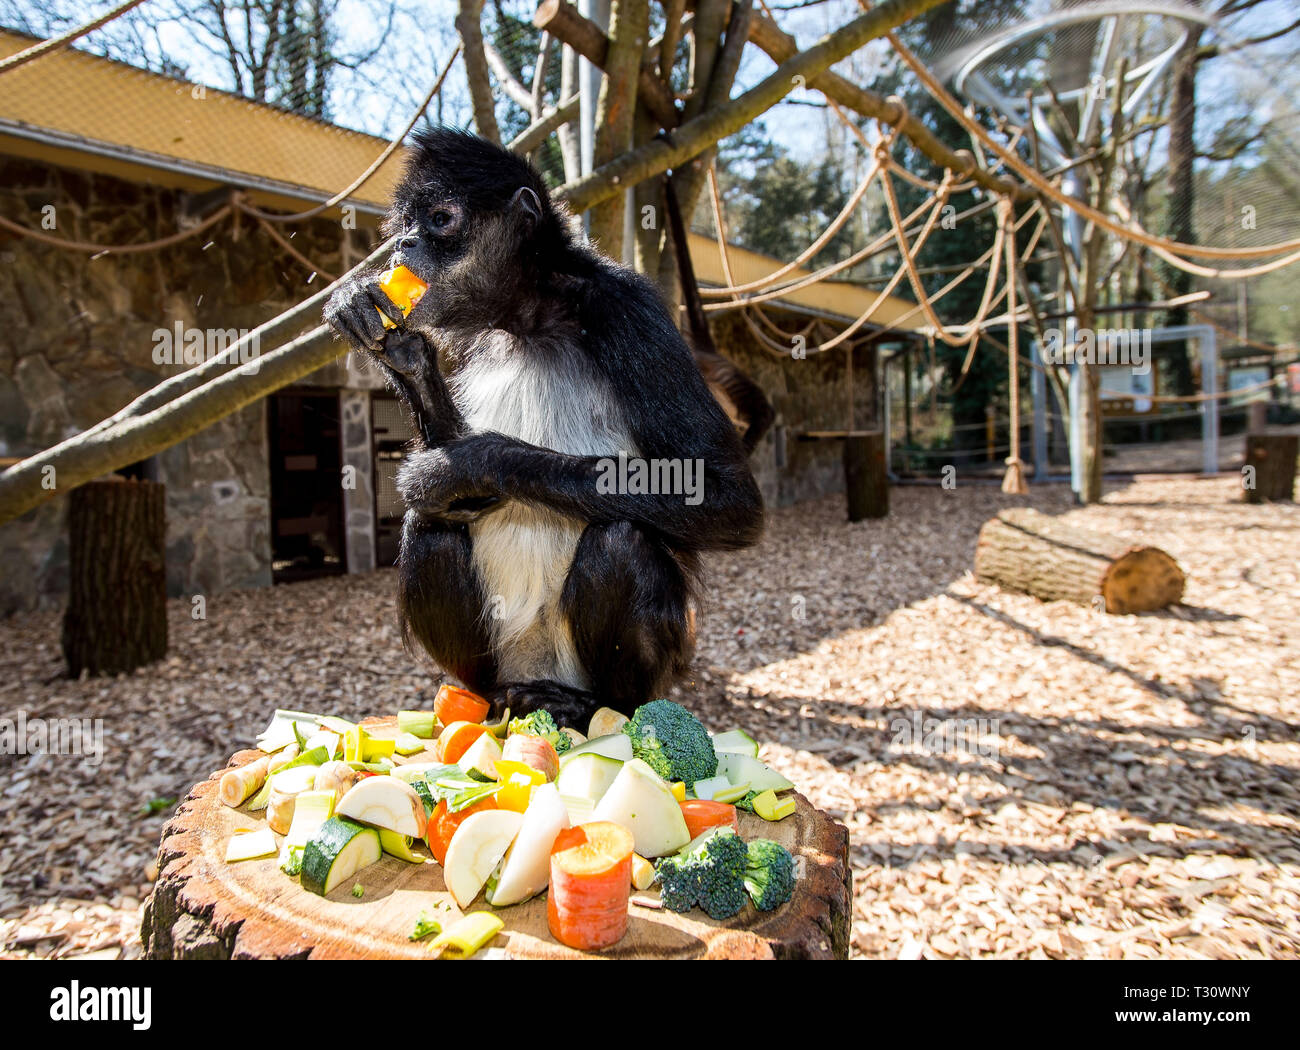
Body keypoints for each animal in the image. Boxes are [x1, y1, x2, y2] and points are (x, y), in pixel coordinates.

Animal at [325, 128, 764, 728]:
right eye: (407, 225)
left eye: (440, 219)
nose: (404, 246)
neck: (525, 318)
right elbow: (453, 499)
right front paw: (398, 348)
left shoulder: (627, 306)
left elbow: (727, 496)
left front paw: (469, 465)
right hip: (496, 659)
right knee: (431, 526)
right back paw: (476, 702)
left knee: (620, 539)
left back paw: (599, 707)